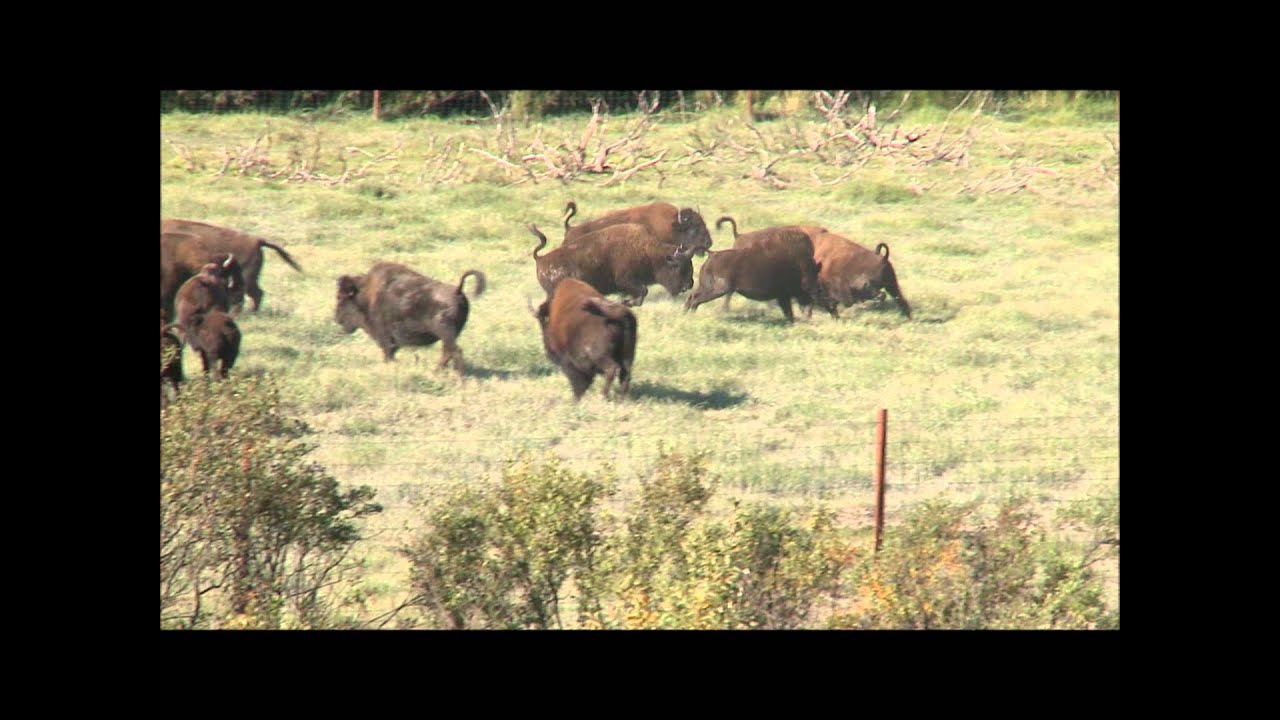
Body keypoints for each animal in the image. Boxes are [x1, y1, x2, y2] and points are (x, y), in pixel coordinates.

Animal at [334, 262, 486, 376]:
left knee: (454, 352)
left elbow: (388, 353)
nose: (336, 319)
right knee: (448, 352)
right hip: (449, 336)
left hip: (445, 333)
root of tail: (457, 290)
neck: (365, 295)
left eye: (341, 298)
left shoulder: (386, 339)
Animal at [529, 223, 695, 306]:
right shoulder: (626, 281)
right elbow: (643, 292)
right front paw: (626, 302)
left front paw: (625, 302)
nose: (689, 284)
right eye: (678, 267)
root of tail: (541, 259)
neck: (647, 250)